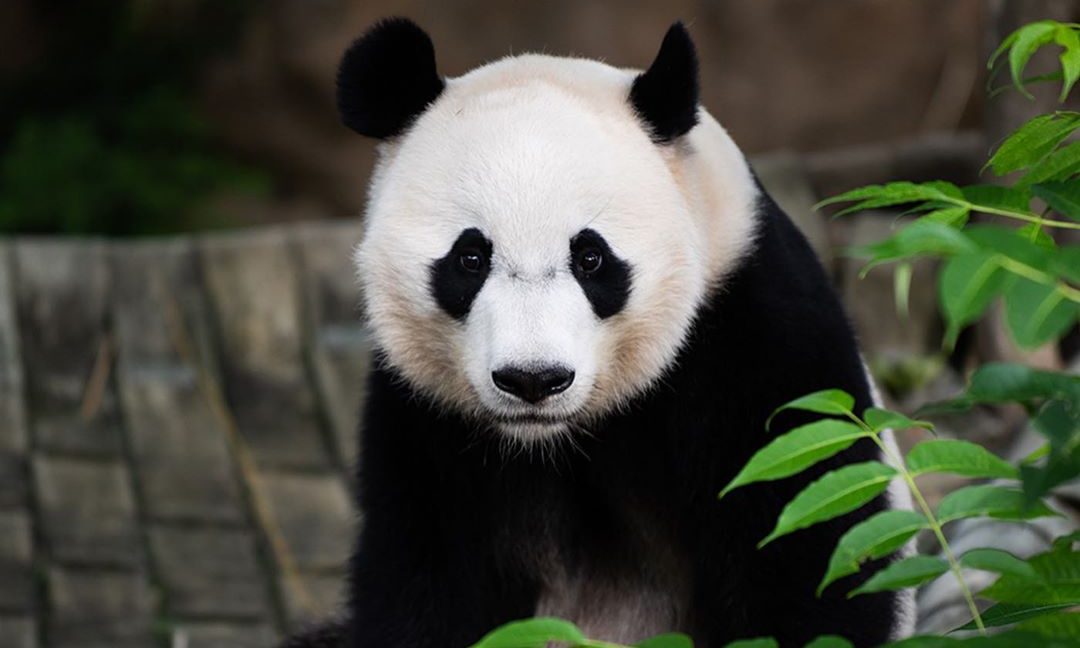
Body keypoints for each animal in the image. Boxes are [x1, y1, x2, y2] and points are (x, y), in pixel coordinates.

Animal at [286, 17, 915, 648]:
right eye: (469, 258)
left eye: (590, 258)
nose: (533, 380)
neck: (558, 441)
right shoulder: (426, 419)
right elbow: (423, 577)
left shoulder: (753, 336)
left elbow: (811, 548)